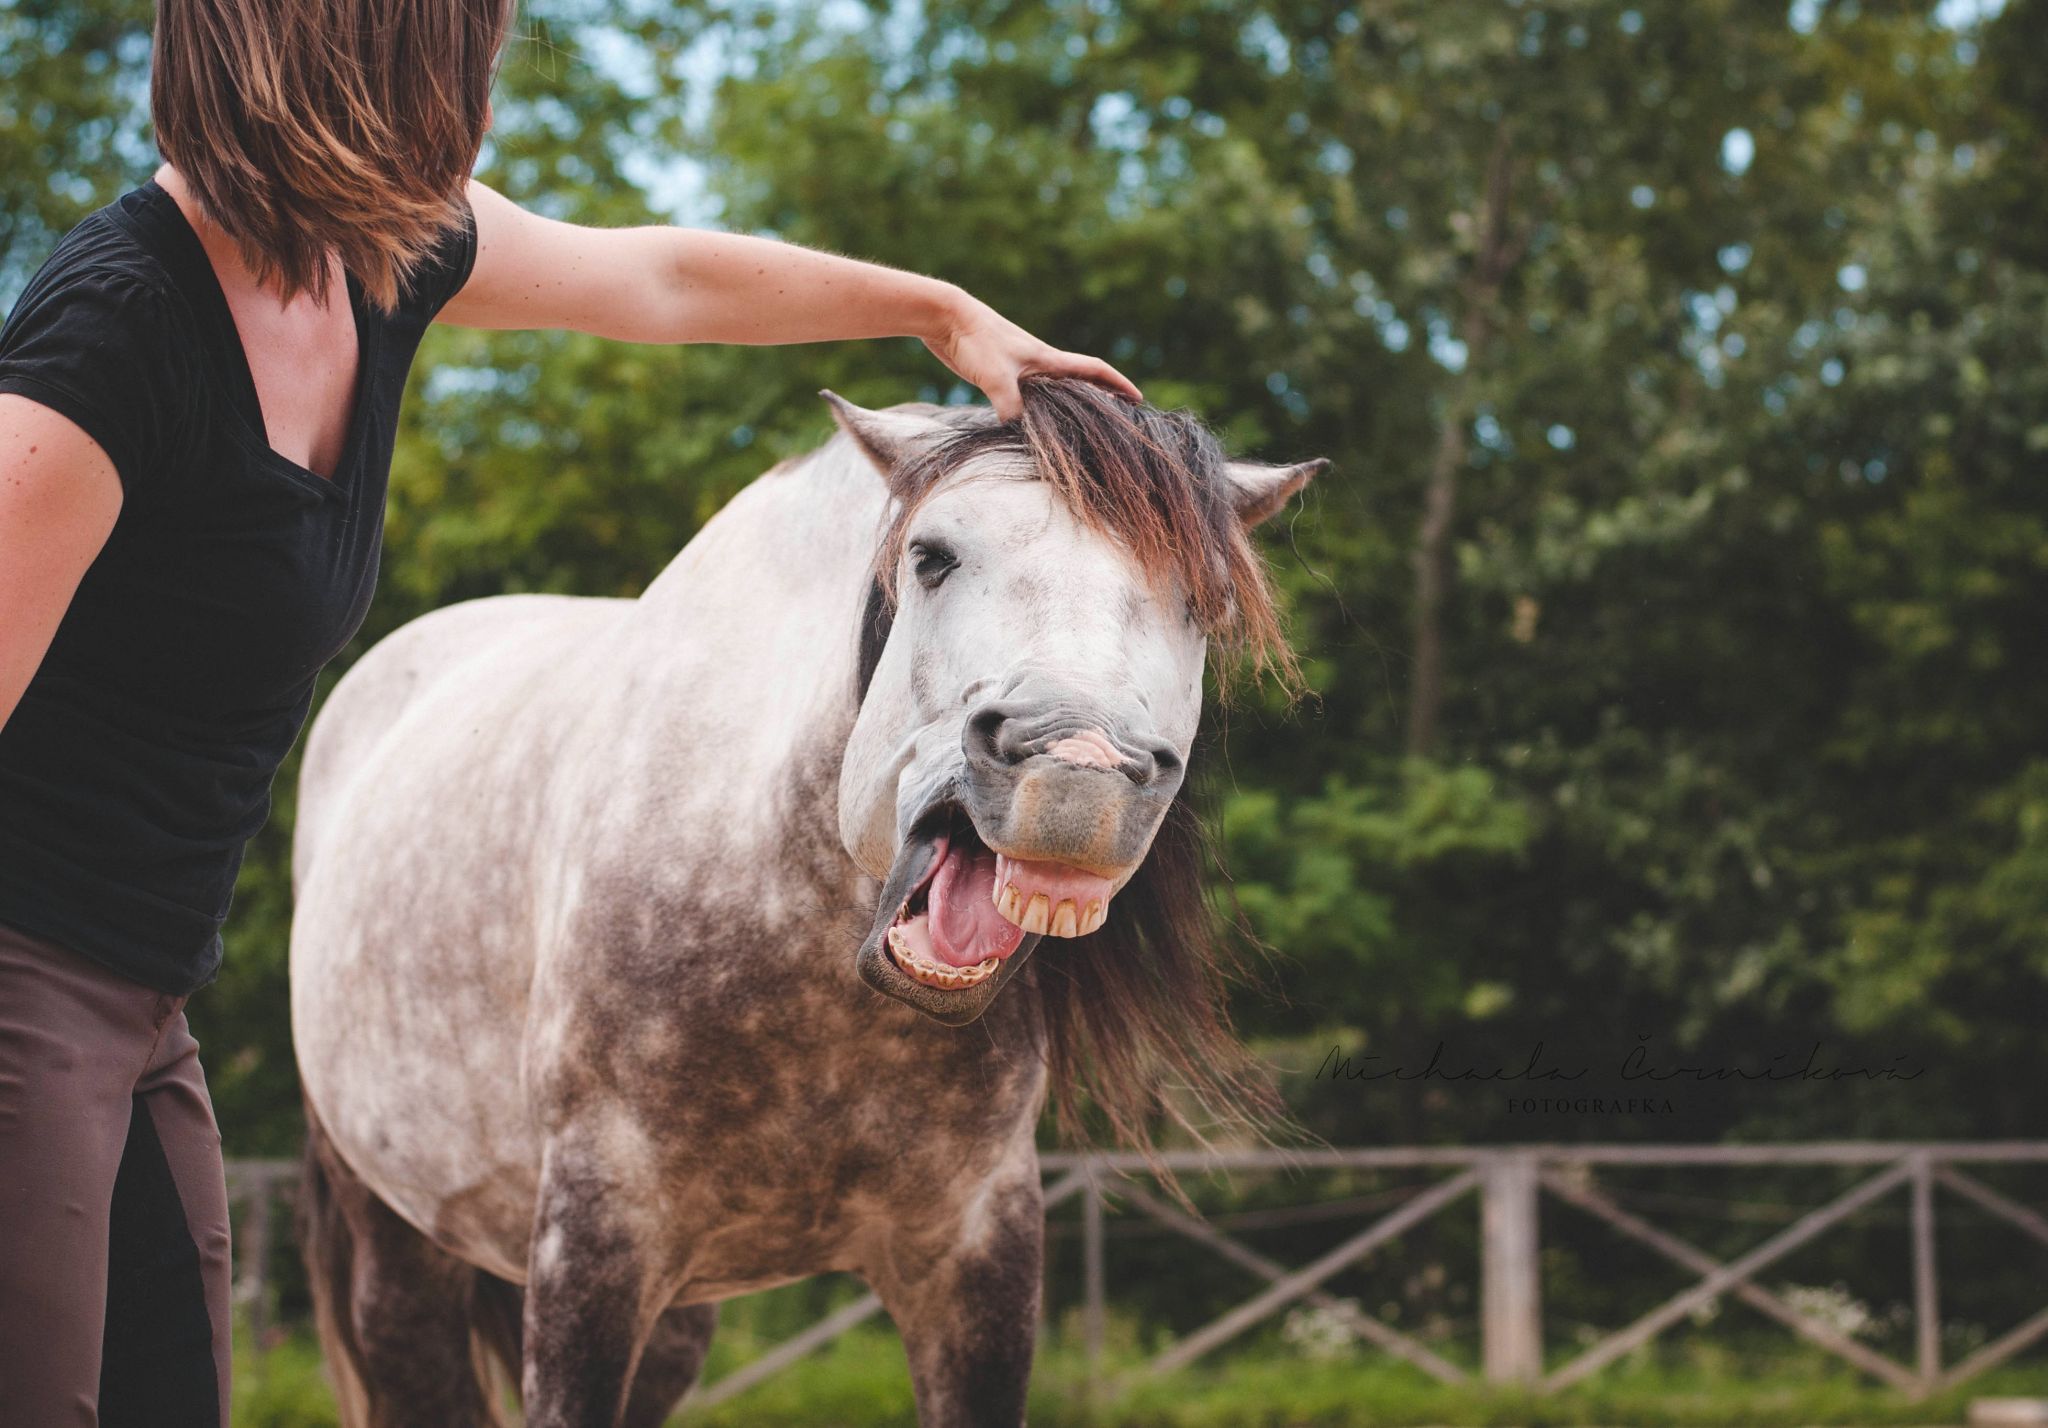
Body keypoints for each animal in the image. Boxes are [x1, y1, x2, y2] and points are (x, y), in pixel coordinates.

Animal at [287, 375, 1322, 1428]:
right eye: (930, 557)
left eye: (1206, 602)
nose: (1078, 768)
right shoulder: (594, 1234)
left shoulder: (977, 1246)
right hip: (402, 1244)